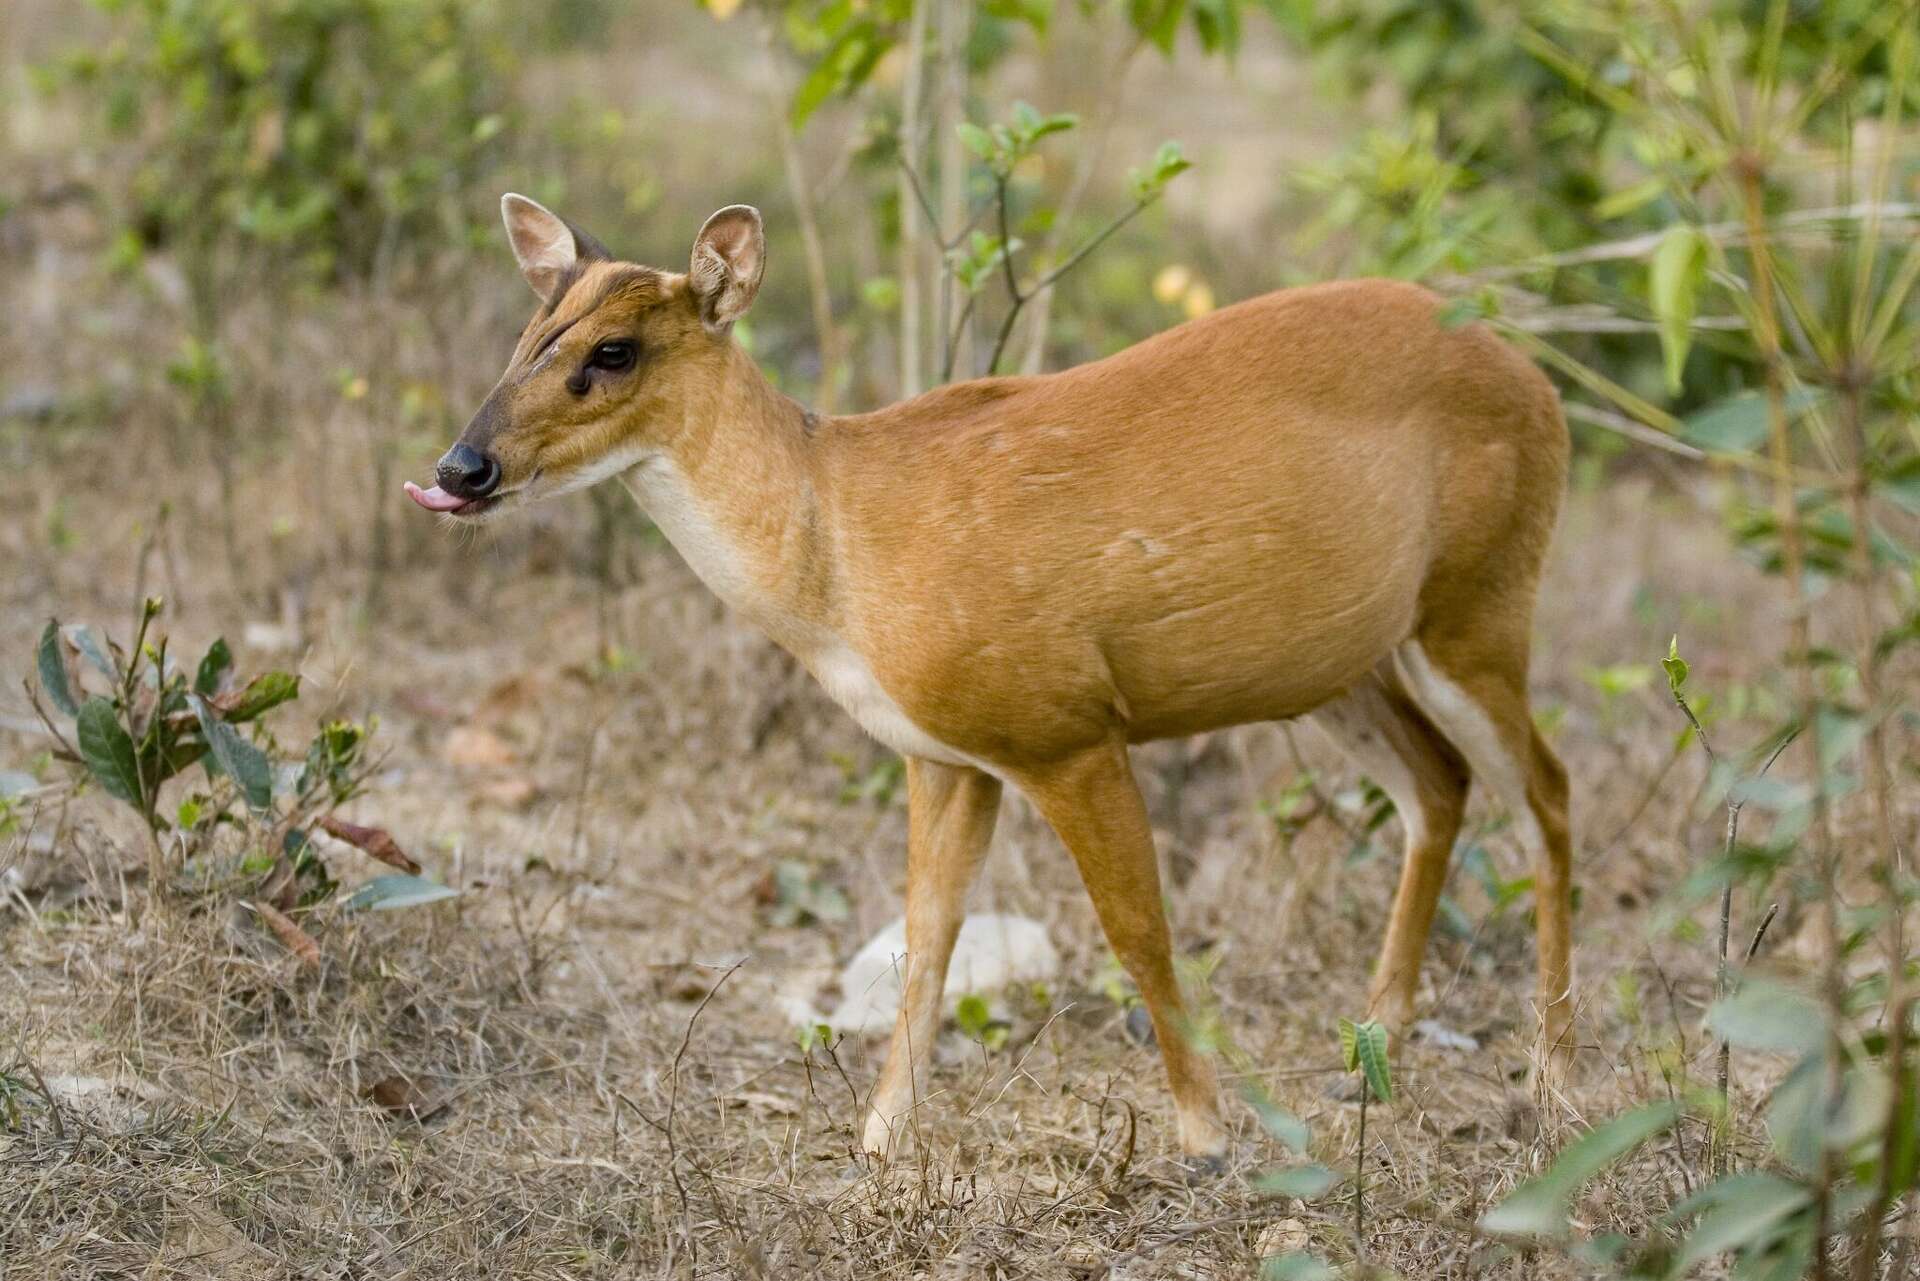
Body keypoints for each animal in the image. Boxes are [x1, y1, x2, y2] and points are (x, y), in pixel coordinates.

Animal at [405, 194, 1574, 1165]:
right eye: (527, 337)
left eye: (613, 350)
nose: (461, 469)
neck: (839, 553)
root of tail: (1540, 382)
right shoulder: (944, 753)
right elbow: (923, 944)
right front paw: (880, 1142)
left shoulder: (1065, 724)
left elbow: (1138, 932)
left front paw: (1206, 1137)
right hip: (1346, 660)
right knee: (1438, 785)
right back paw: (1374, 1045)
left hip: (1481, 597)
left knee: (1547, 790)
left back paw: (1554, 1072)